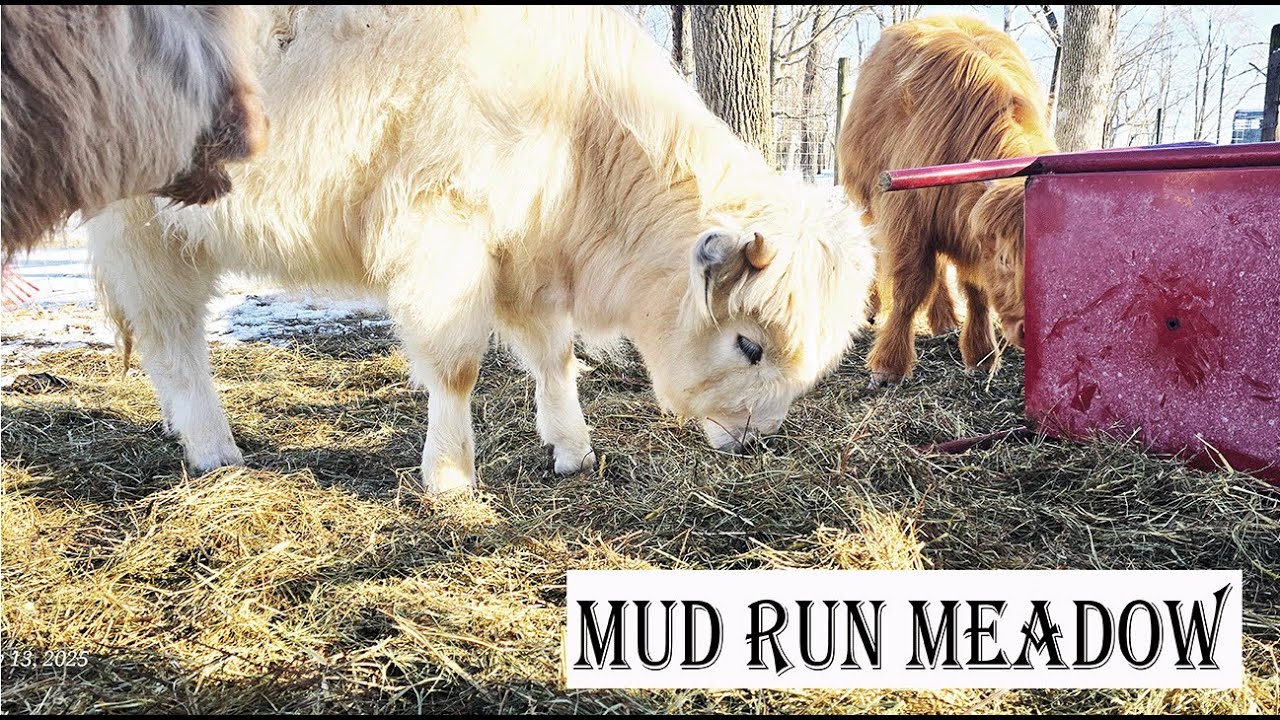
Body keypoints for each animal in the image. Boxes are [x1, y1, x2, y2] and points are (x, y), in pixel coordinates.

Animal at [89, 6, 876, 495]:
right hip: (143, 224)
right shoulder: (442, 233)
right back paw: (214, 450)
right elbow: (456, 365)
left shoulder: (525, 256)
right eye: (750, 345)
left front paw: (572, 450)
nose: (755, 439)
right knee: (174, 338)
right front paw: (449, 477)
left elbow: (554, 357)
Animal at [837, 14, 1057, 386]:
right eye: (1005, 259)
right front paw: (887, 367)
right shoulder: (908, 217)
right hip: (867, 200)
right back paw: (871, 309)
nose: (1032, 330)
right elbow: (910, 288)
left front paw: (981, 356)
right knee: (881, 255)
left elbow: (976, 289)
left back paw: (944, 321)